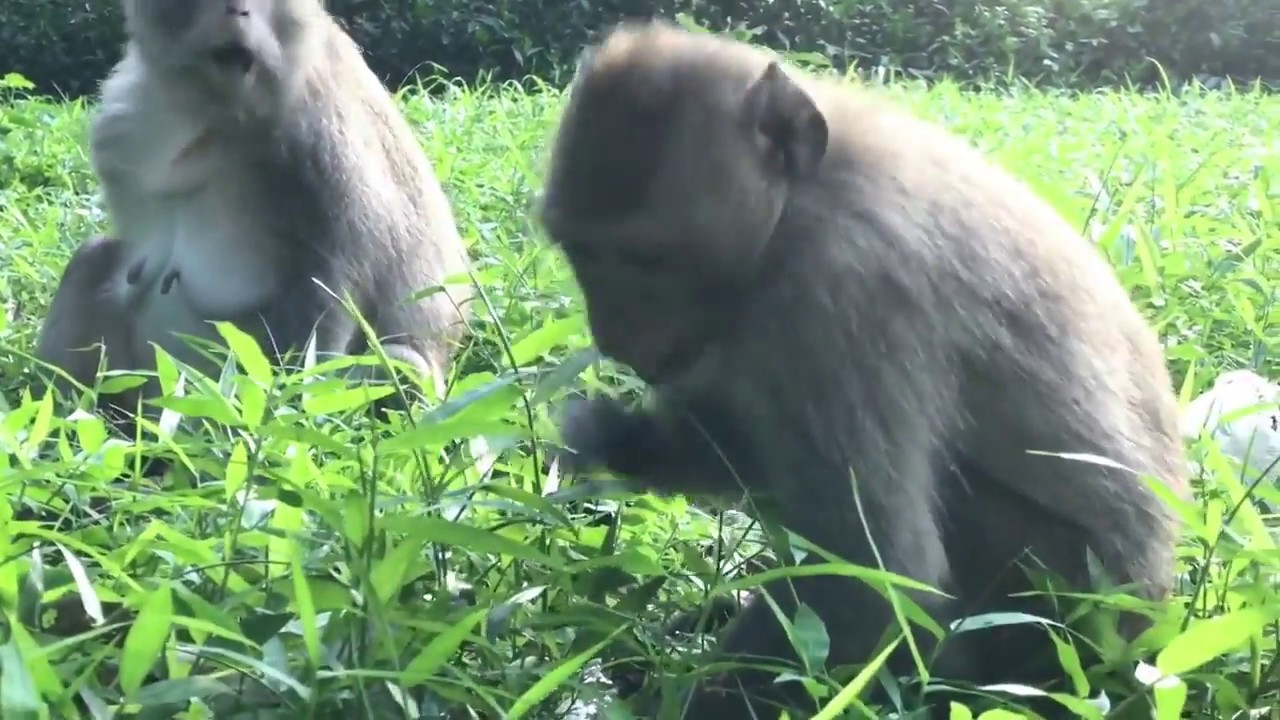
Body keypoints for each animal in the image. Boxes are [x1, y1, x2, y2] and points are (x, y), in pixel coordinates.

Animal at [34, 0, 472, 432]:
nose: (236, 9)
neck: (219, 114)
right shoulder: (125, 124)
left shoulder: (323, 136)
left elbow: (330, 286)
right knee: (93, 258)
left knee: (401, 361)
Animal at [537, 20, 1189, 720]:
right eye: (580, 252)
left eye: (646, 260)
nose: (613, 337)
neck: (803, 200)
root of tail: (1150, 635)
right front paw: (619, 437)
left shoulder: (847, 291)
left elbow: (871, 574)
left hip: (1059, 617)